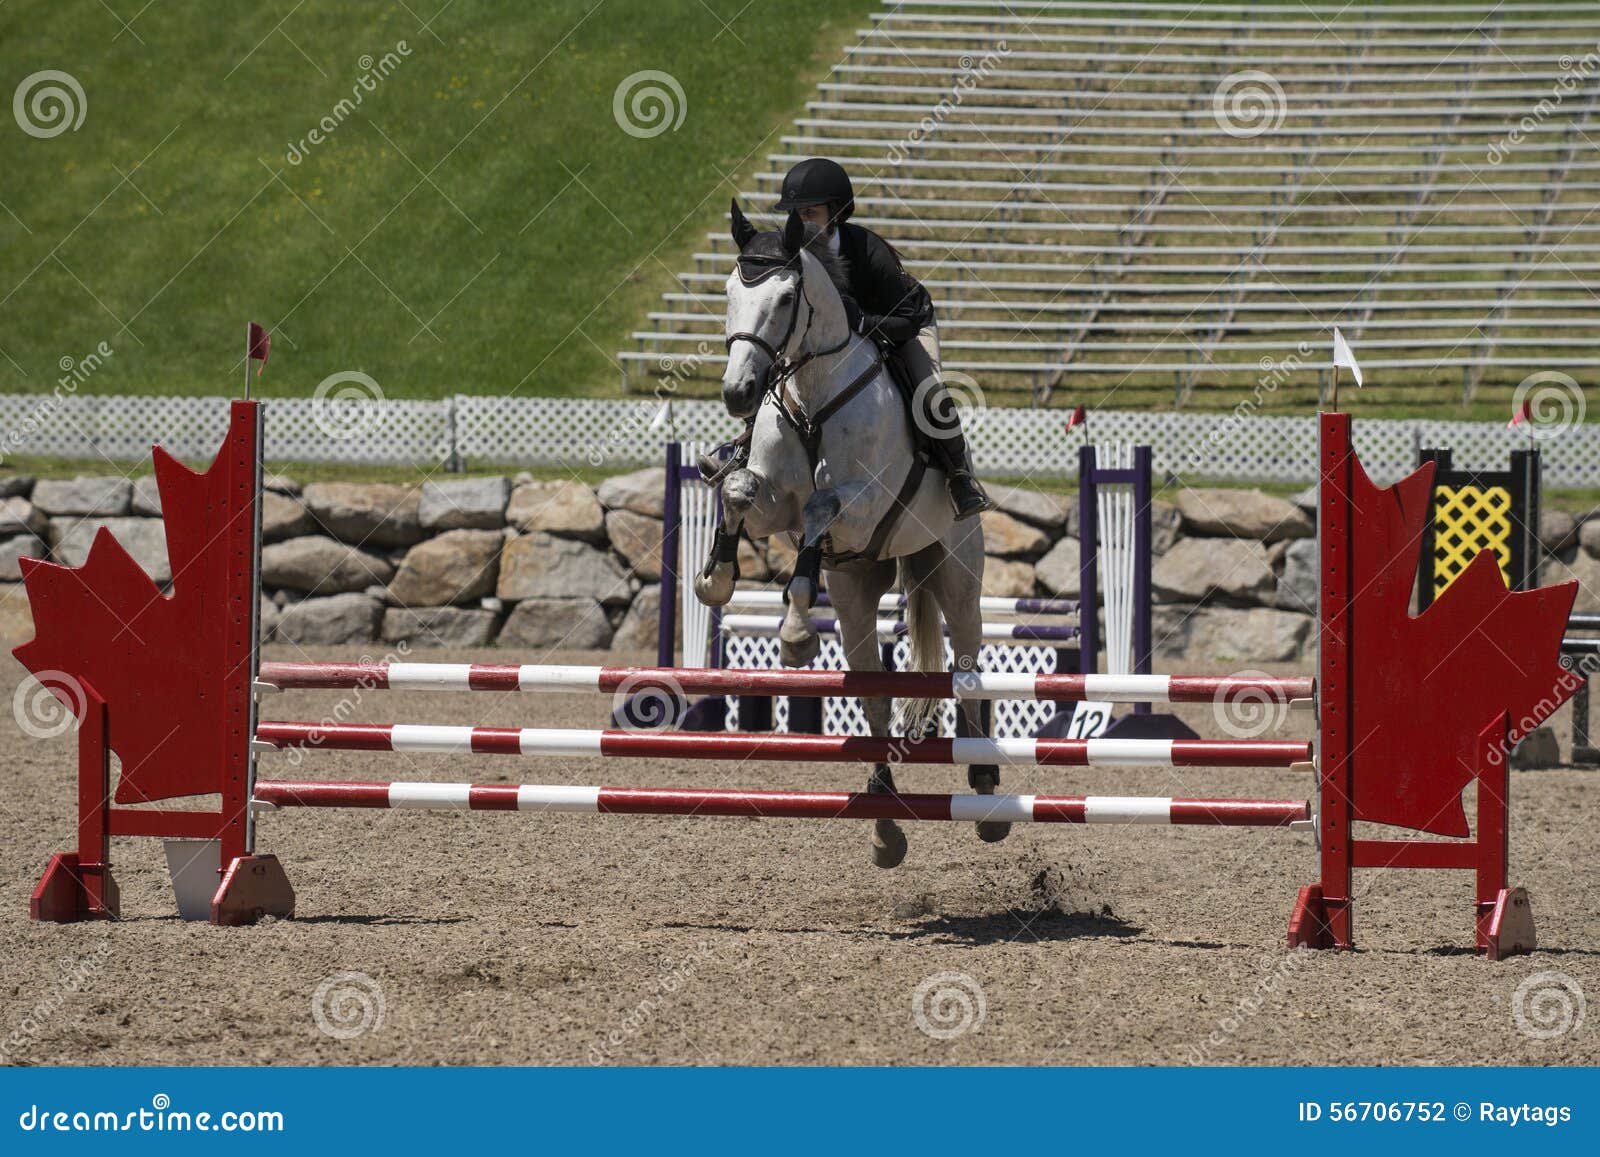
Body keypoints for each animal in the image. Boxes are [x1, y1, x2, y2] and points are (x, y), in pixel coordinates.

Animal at [692, 201, 1003, 868]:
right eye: (729, 291)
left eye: (786, 298)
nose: (738, 394)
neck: (814, 394)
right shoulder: (773, 504)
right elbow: (739, 491)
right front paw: (717, 578)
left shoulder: (861, 505)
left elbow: (823, 506)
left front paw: (794, 632)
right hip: (858, 587)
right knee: (875, 694)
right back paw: (884, 818)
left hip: (957, 573)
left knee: (968, 668)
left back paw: (986, 787)